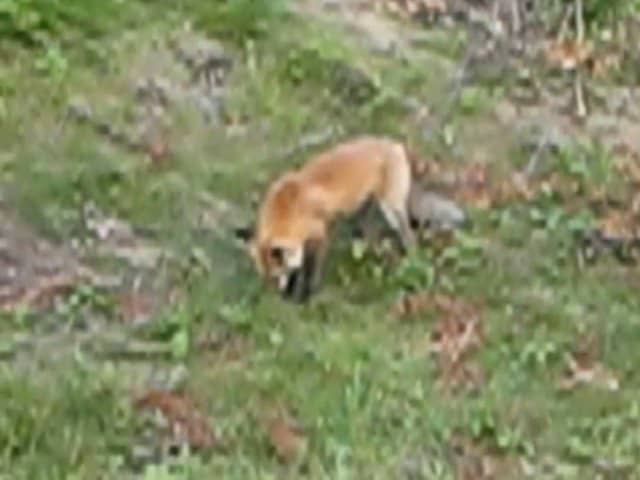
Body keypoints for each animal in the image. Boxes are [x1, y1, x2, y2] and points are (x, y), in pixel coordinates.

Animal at [235, 135, 465, 302]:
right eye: (265, 278)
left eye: (275, 277)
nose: (277, 297)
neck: (287, 209)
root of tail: (393, 143)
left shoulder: (319, 233)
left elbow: (310, 270)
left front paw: (306, 295)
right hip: (366, 206)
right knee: (374, 231)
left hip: (391, 207)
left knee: (408, 234)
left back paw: (410, 258)